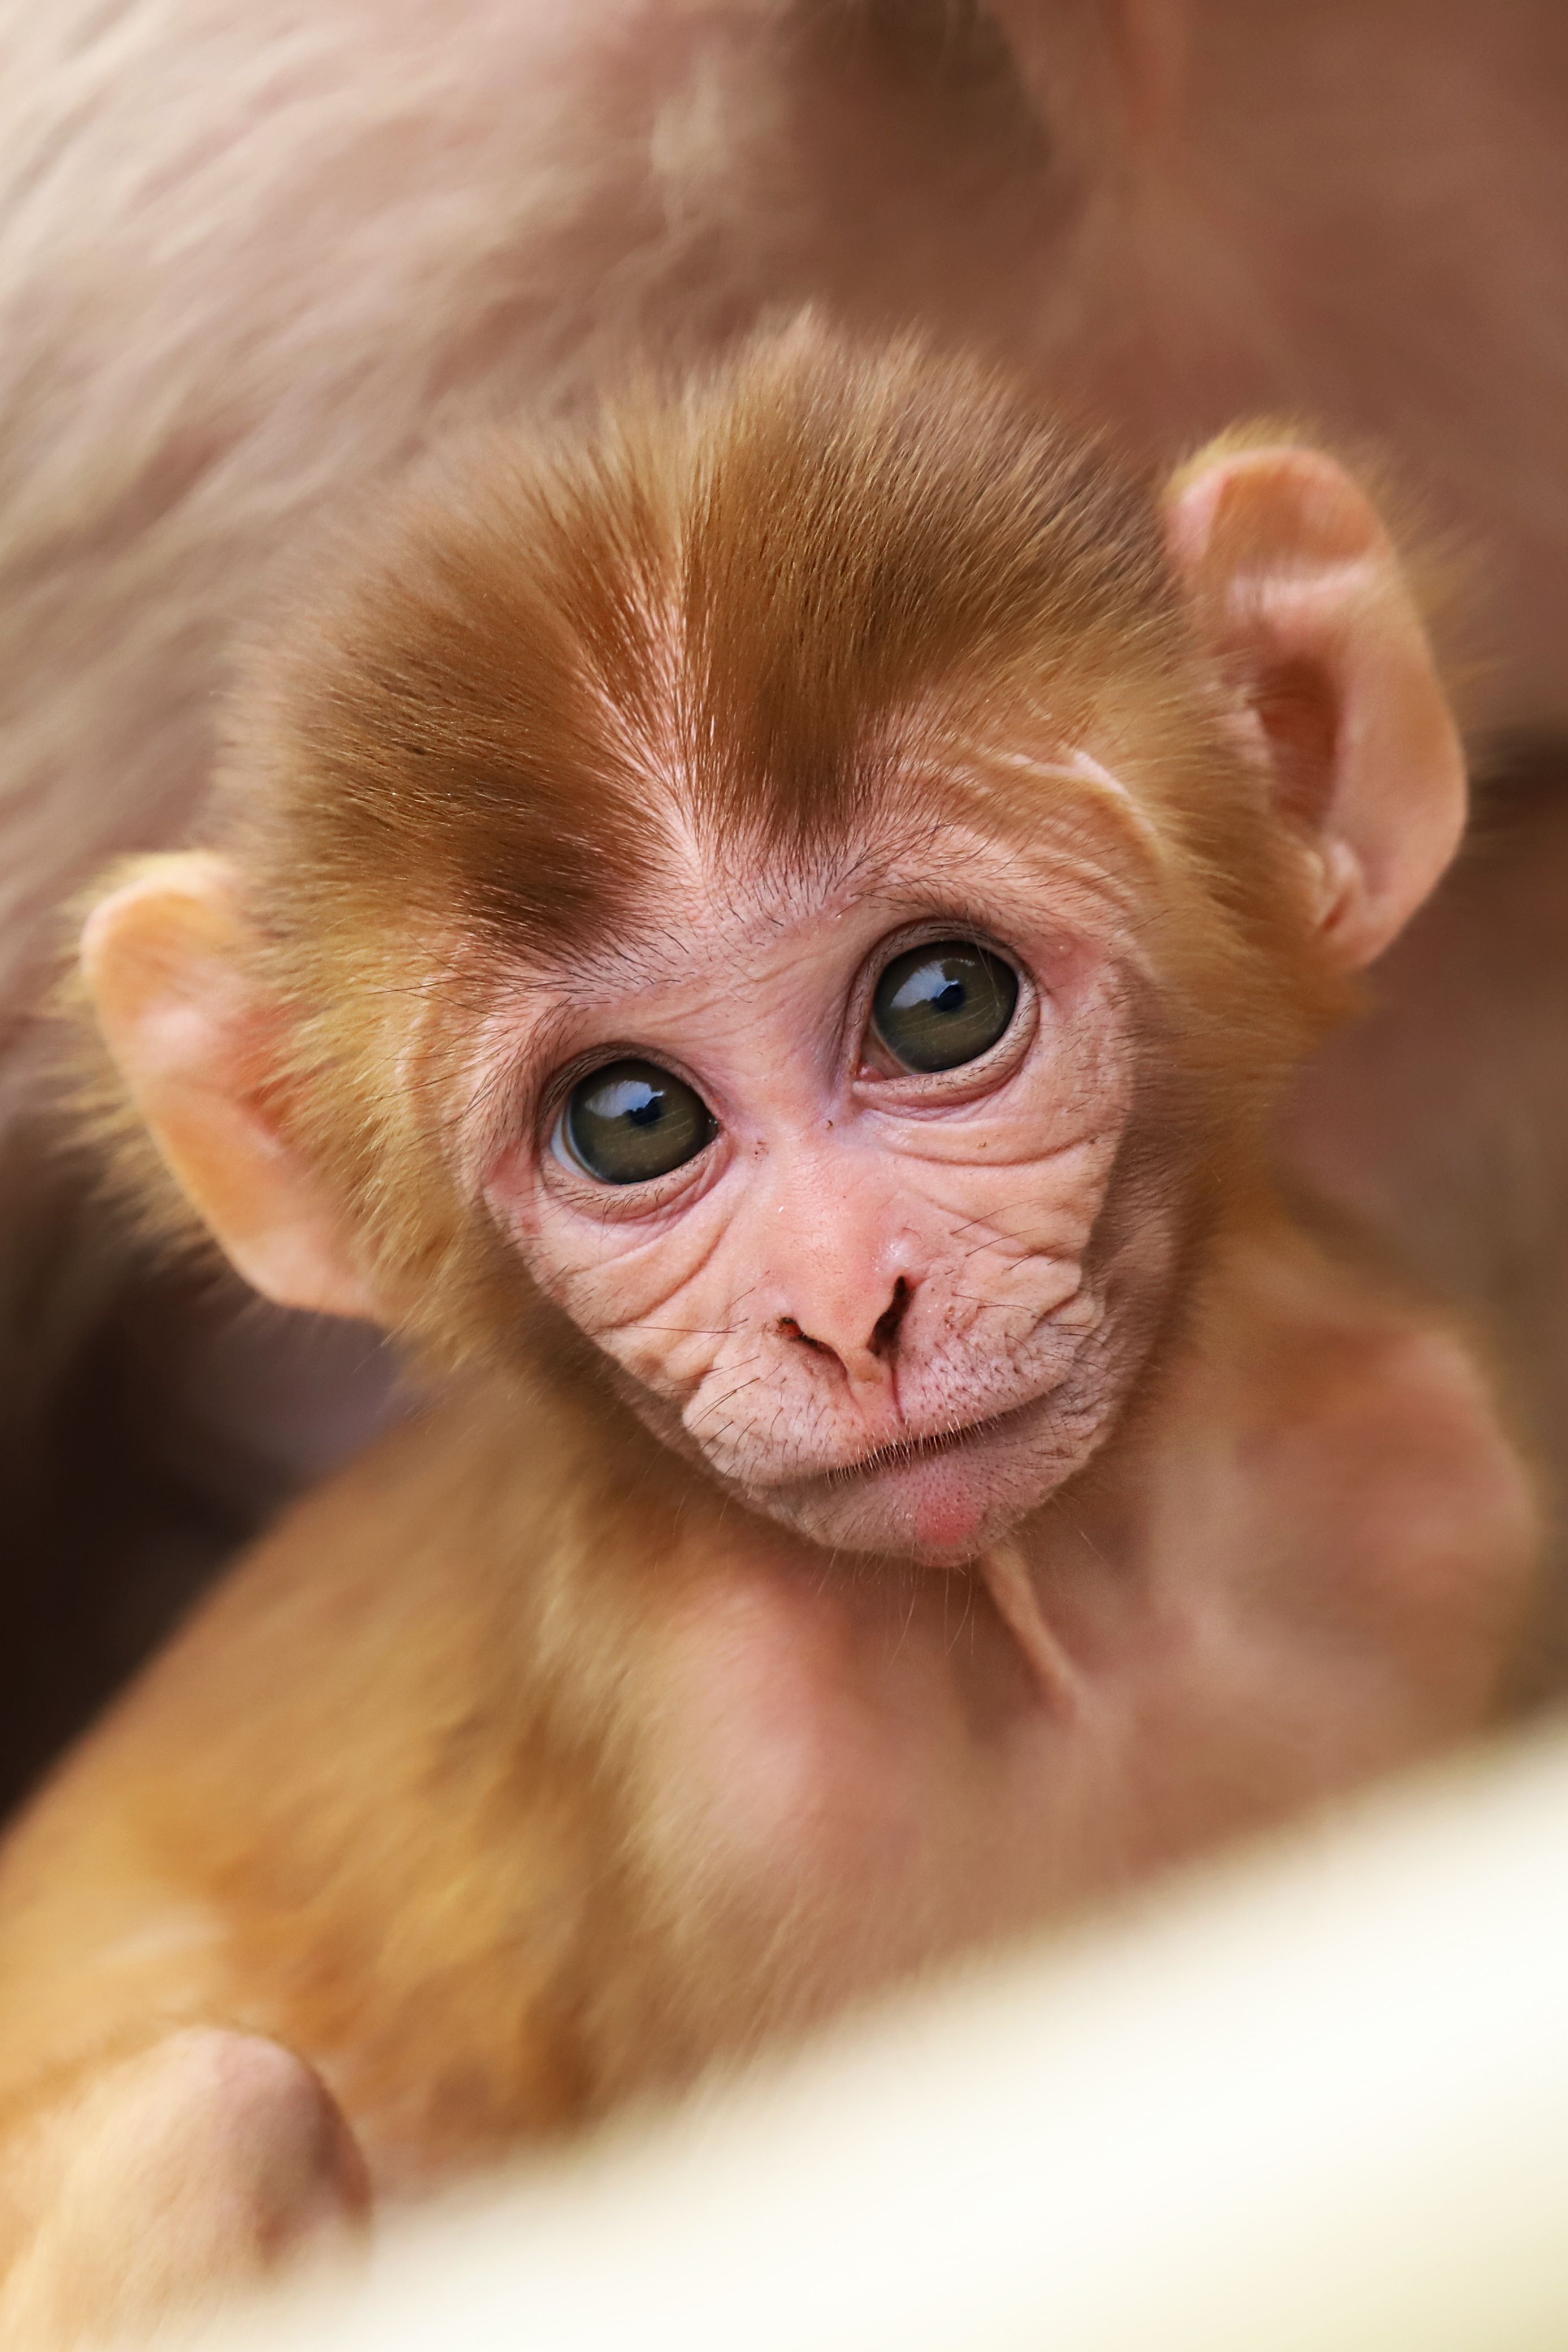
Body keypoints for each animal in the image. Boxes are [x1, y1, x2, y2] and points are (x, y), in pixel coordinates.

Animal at [0, 324, 1537, 2343]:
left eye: (941, 1000)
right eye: (631, 1120)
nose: (841, 1307)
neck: (1072, 1606)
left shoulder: (1437, 1481)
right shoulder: (743, 1776)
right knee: (217, 2111)